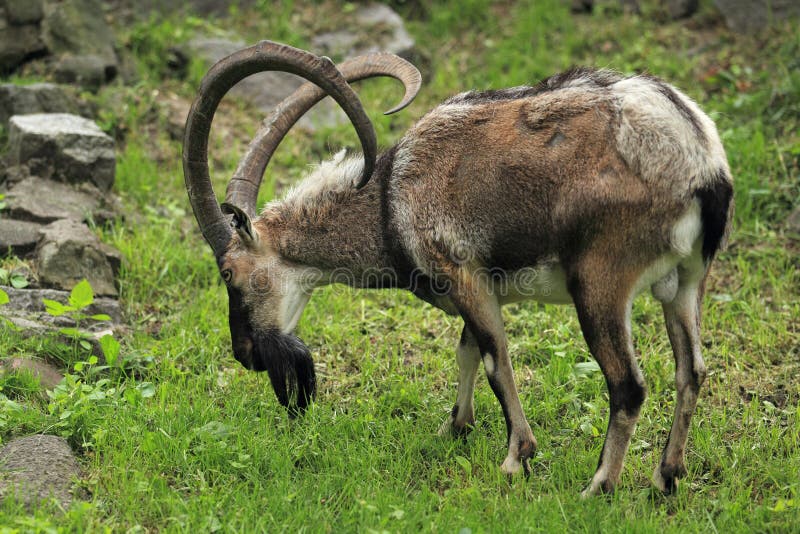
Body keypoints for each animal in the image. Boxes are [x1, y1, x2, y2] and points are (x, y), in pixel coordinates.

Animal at [183, 41, 733, 496]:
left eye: (229, 274)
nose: (247, 354)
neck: (389, 201)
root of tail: (700, 165)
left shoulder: (463, 275)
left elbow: (494, 359)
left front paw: (515, 458)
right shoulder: (476, 291)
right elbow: (467, 350)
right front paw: (455, 426)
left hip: (600, 283)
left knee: (628, 385)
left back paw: (598, 487)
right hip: (686, 283)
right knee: (692, 370)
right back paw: (665, 478)